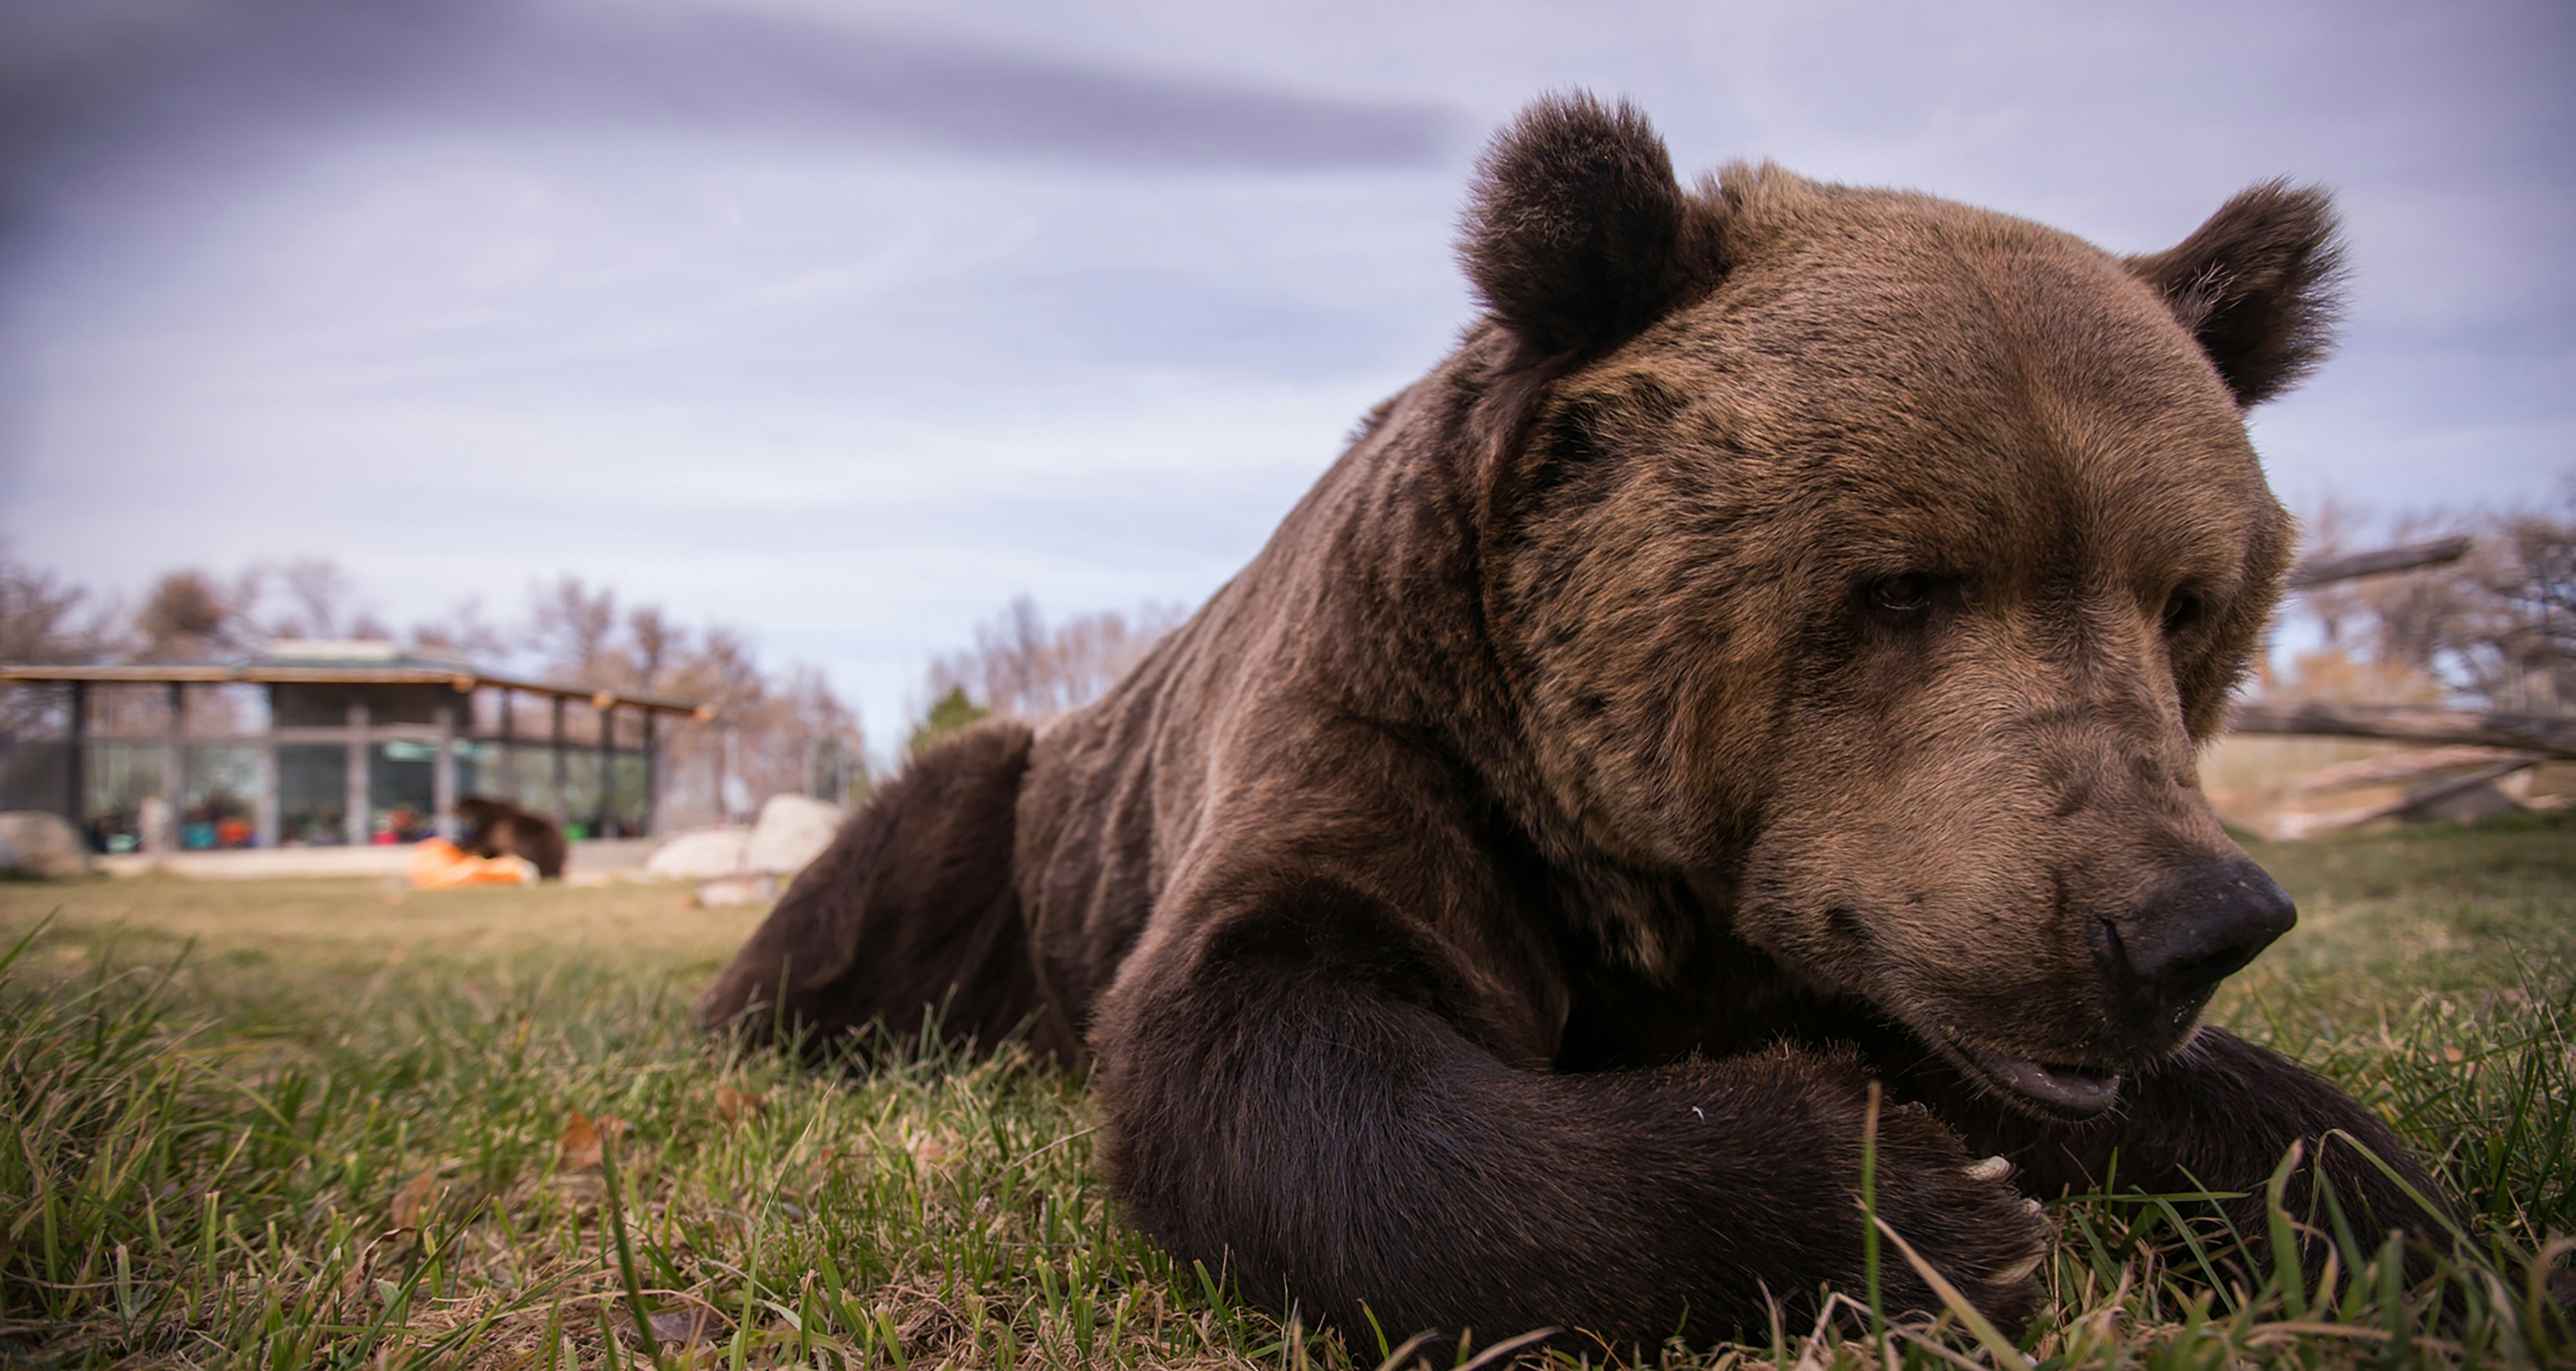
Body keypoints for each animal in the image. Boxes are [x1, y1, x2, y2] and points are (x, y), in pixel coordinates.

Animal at [700, 94, 2450, 1347]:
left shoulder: (1849, 913)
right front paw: (1914, 1203)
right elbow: (1271, 1040)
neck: (1646, 873)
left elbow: (2261, 1126)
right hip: (1011, 819)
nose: (2184, 922)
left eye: (2186, 598)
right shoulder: (1403, 737)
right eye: (1905, 581)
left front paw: (2396, 1223)